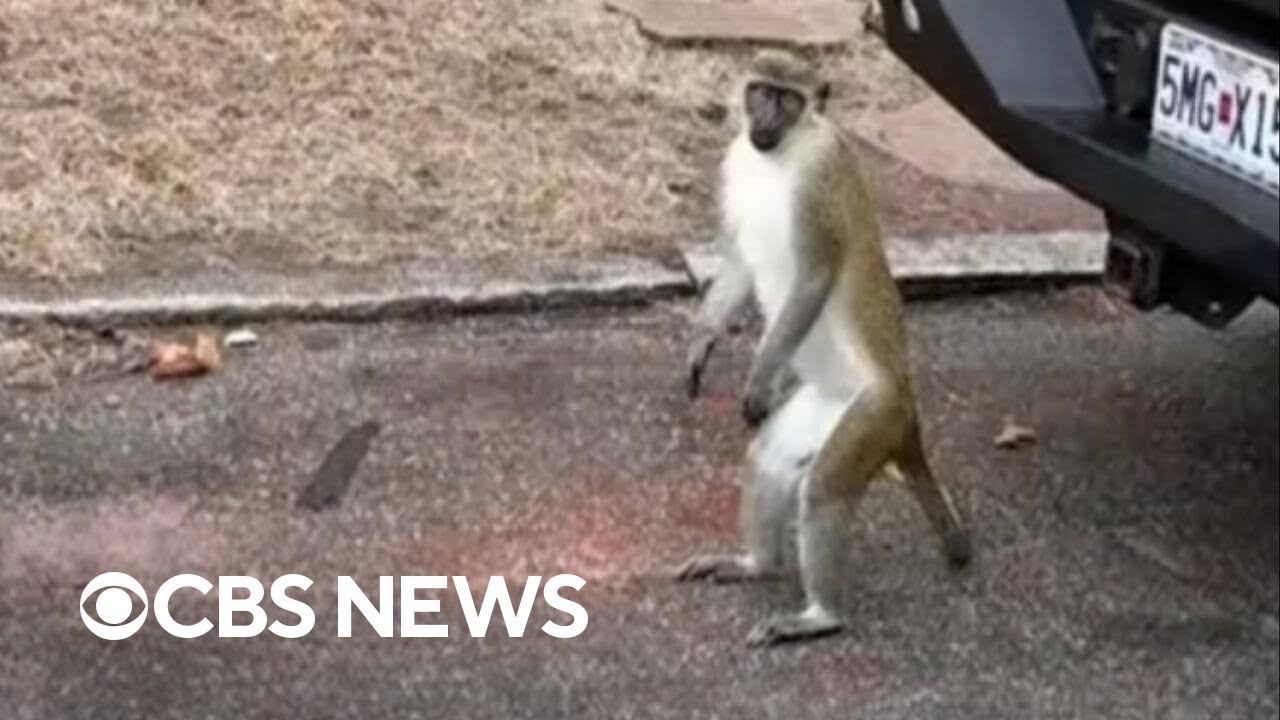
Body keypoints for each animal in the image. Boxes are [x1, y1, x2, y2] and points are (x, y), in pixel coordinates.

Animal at [677, 50, 973, 647]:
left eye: (788, 99)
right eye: (761, 91)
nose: (766, 117)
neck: (780, 158)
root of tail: (906, 407)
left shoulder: (820, 183)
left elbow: (812, 279)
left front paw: (759, 378)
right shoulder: (735, 162)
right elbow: (738, 262)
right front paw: (702, 339)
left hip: (874, 414)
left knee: (825, 489)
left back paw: (822, 616)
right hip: (828, 406)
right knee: (769, 460)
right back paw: (757, 565)